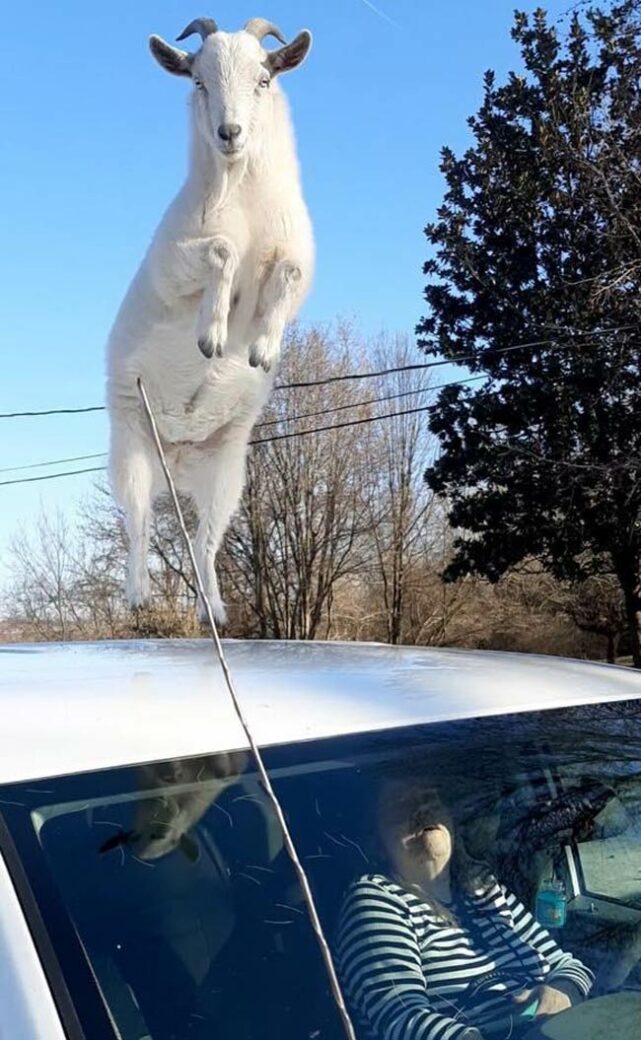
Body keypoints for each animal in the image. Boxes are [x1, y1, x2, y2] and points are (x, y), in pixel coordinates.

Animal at [107, 16, 314, 622]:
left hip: (226, 469)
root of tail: (176, 457)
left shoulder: (295, 258)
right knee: (139, 524)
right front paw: (211, 335)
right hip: (131, 446)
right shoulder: (172, 265)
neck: (241, 192)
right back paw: (138, 597)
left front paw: (262, 349)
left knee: (204, 539)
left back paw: (213, 609)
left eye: (264, 78)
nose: (230, 132)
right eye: (198, 80)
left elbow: (287, 272)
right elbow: (219, 251)